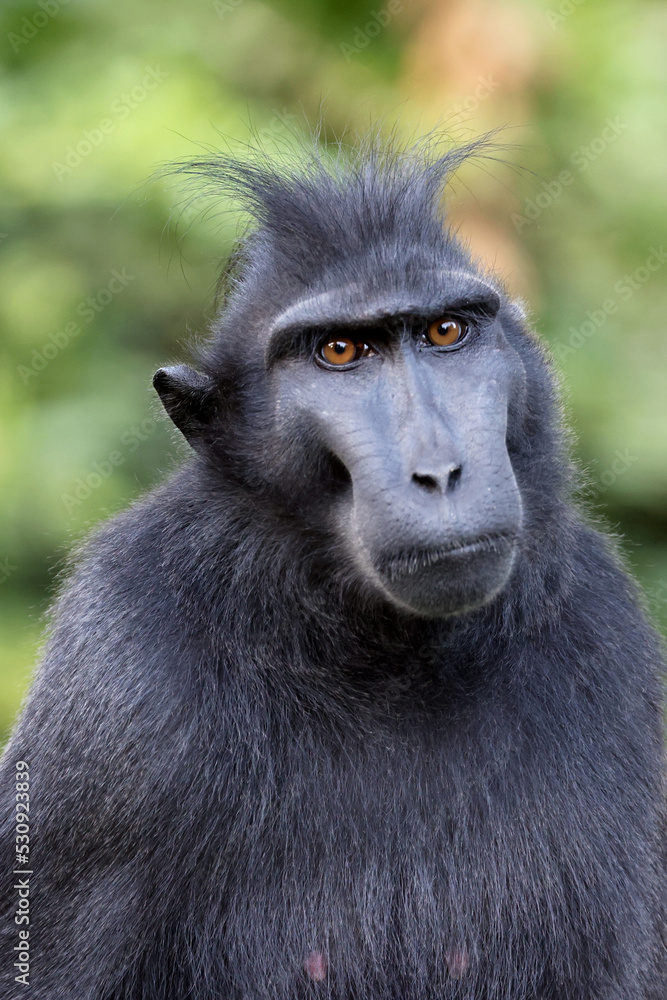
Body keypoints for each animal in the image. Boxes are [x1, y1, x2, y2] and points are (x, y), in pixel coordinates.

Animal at [0, 137, 665, 999]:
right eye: (340, 352)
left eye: (445, 332)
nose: (438, 472)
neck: (386, 658)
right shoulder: (115, 689)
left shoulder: (601, 624)